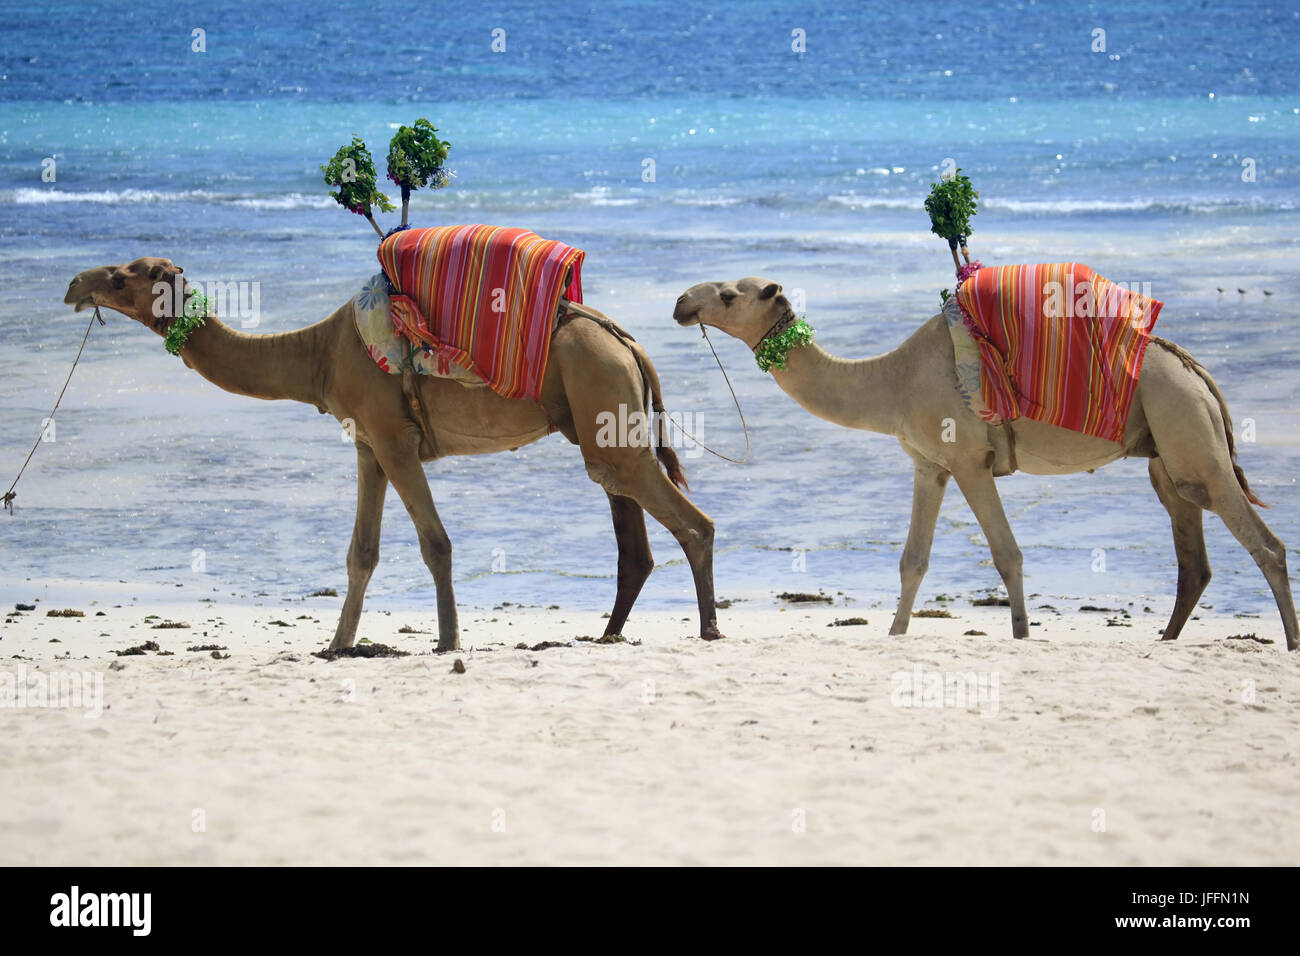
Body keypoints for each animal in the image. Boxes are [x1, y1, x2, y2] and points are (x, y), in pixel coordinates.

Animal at [63, 257, 724, 651]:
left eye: (123, 277)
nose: (74, 285)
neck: (320, 353)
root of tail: (631, 344)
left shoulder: (394, 438)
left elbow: (436, 544)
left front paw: (449, 641)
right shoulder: (367, 445)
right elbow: (361, 552)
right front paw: (337, 646)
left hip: (602, 394)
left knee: (692, 521)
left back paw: (709, 628)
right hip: (598, 421)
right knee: (628, 523)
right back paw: (607, 635)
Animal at [673, 276, 1297, 651]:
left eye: (728, 295)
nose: (681, 303)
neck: (890, 381)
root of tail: (1197, 373)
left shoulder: (970, 461)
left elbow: (1006, 553)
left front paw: (1020, 634)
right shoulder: (930, 465)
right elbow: (913, 561)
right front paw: (896, 634)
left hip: (1191, 435)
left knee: (1265, 544)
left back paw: (1289, 641)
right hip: (1168, 458)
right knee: (1194, 554)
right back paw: (1166, 640)